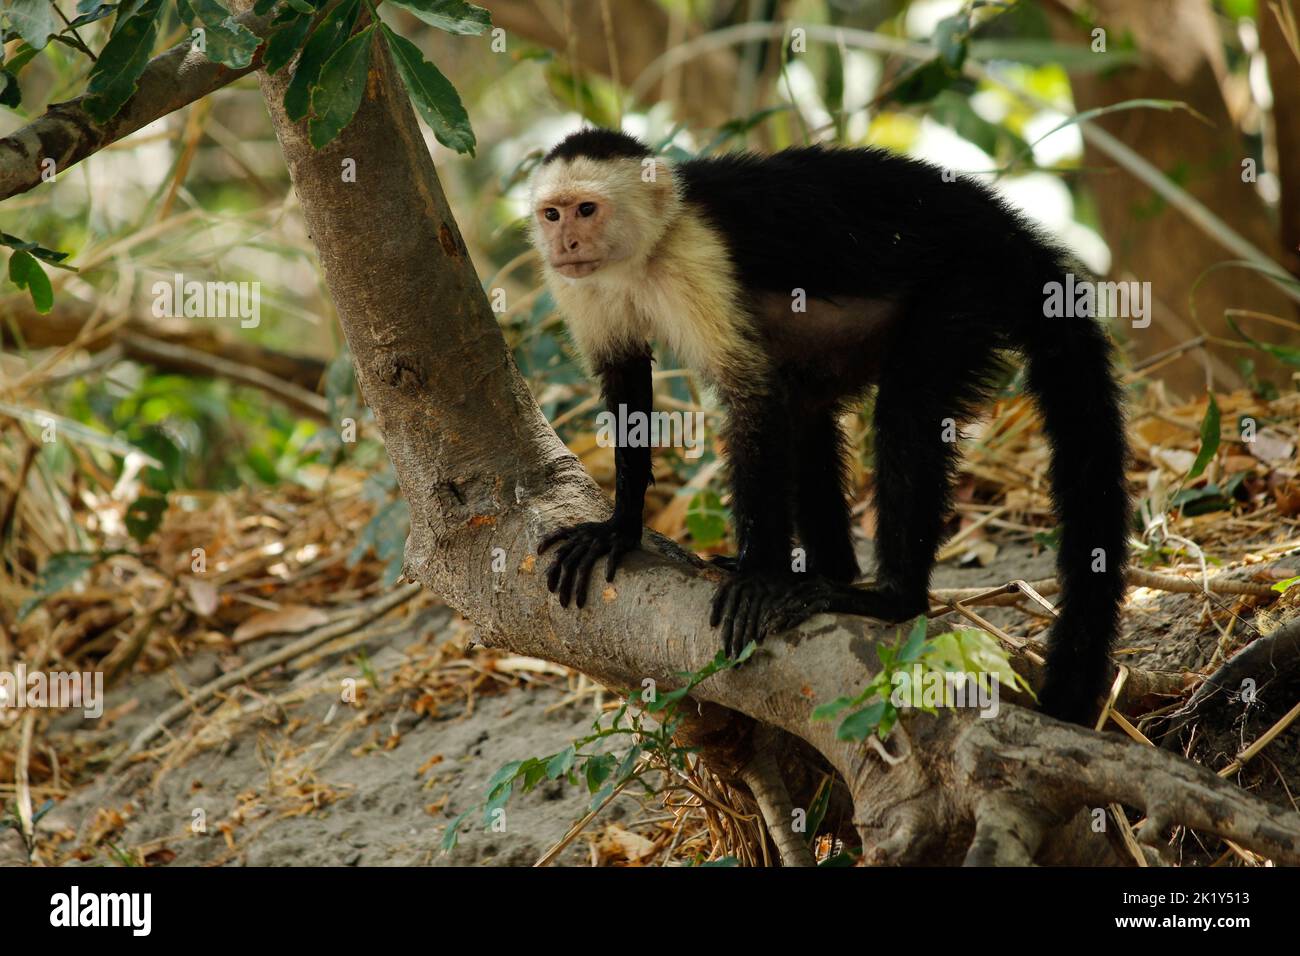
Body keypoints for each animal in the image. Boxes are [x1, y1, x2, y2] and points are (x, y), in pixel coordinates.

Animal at [528, 128, 1129, 726]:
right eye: (553, 214)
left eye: (587, 210)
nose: (566, 244)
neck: (646, 251)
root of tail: (1008, 229)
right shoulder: (581, 287)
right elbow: (626, 379)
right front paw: (621, 527)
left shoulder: (696, 257)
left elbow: (752, 398)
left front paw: (758, 576)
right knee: (805, 413)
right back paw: (830, 573)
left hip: (965, 286)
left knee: (903, 411)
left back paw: (890, 598)